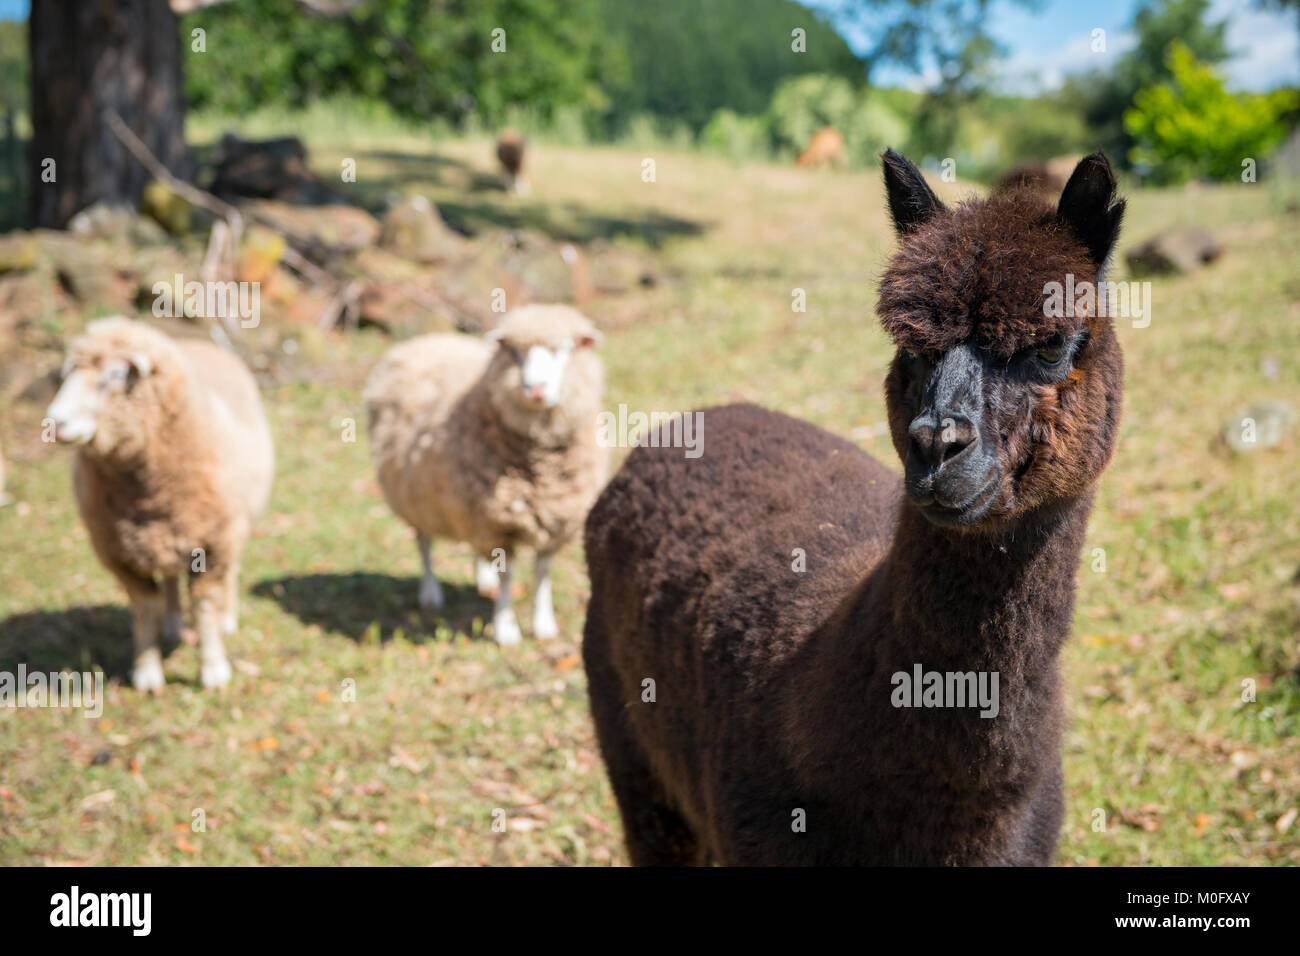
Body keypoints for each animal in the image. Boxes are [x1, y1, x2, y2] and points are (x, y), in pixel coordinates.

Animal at [45, 317, 274, 691]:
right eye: (69, 375)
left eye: (114, 376)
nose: (54, 422)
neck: (146, 492)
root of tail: (202, 344)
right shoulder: (118, 554)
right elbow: (145, 608)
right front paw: (147, 672)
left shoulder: (215, 542)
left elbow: (205, 604)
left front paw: (213, 669)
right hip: (165, 537)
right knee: (168, 579)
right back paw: (172, 623)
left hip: (234, 521)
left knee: (229, 575)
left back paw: (227, 619)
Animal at [364, 304, 606, 644]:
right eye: (515, 352)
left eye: (565, 350)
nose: (535, 389)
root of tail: (424, 339)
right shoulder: (497, 525)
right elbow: (508, 575)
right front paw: (505, 628)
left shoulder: (556, 518)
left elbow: (542, 571)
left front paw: (544, 624)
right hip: (417, 496)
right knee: (424, 544)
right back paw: (430, 593)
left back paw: (483, 578)